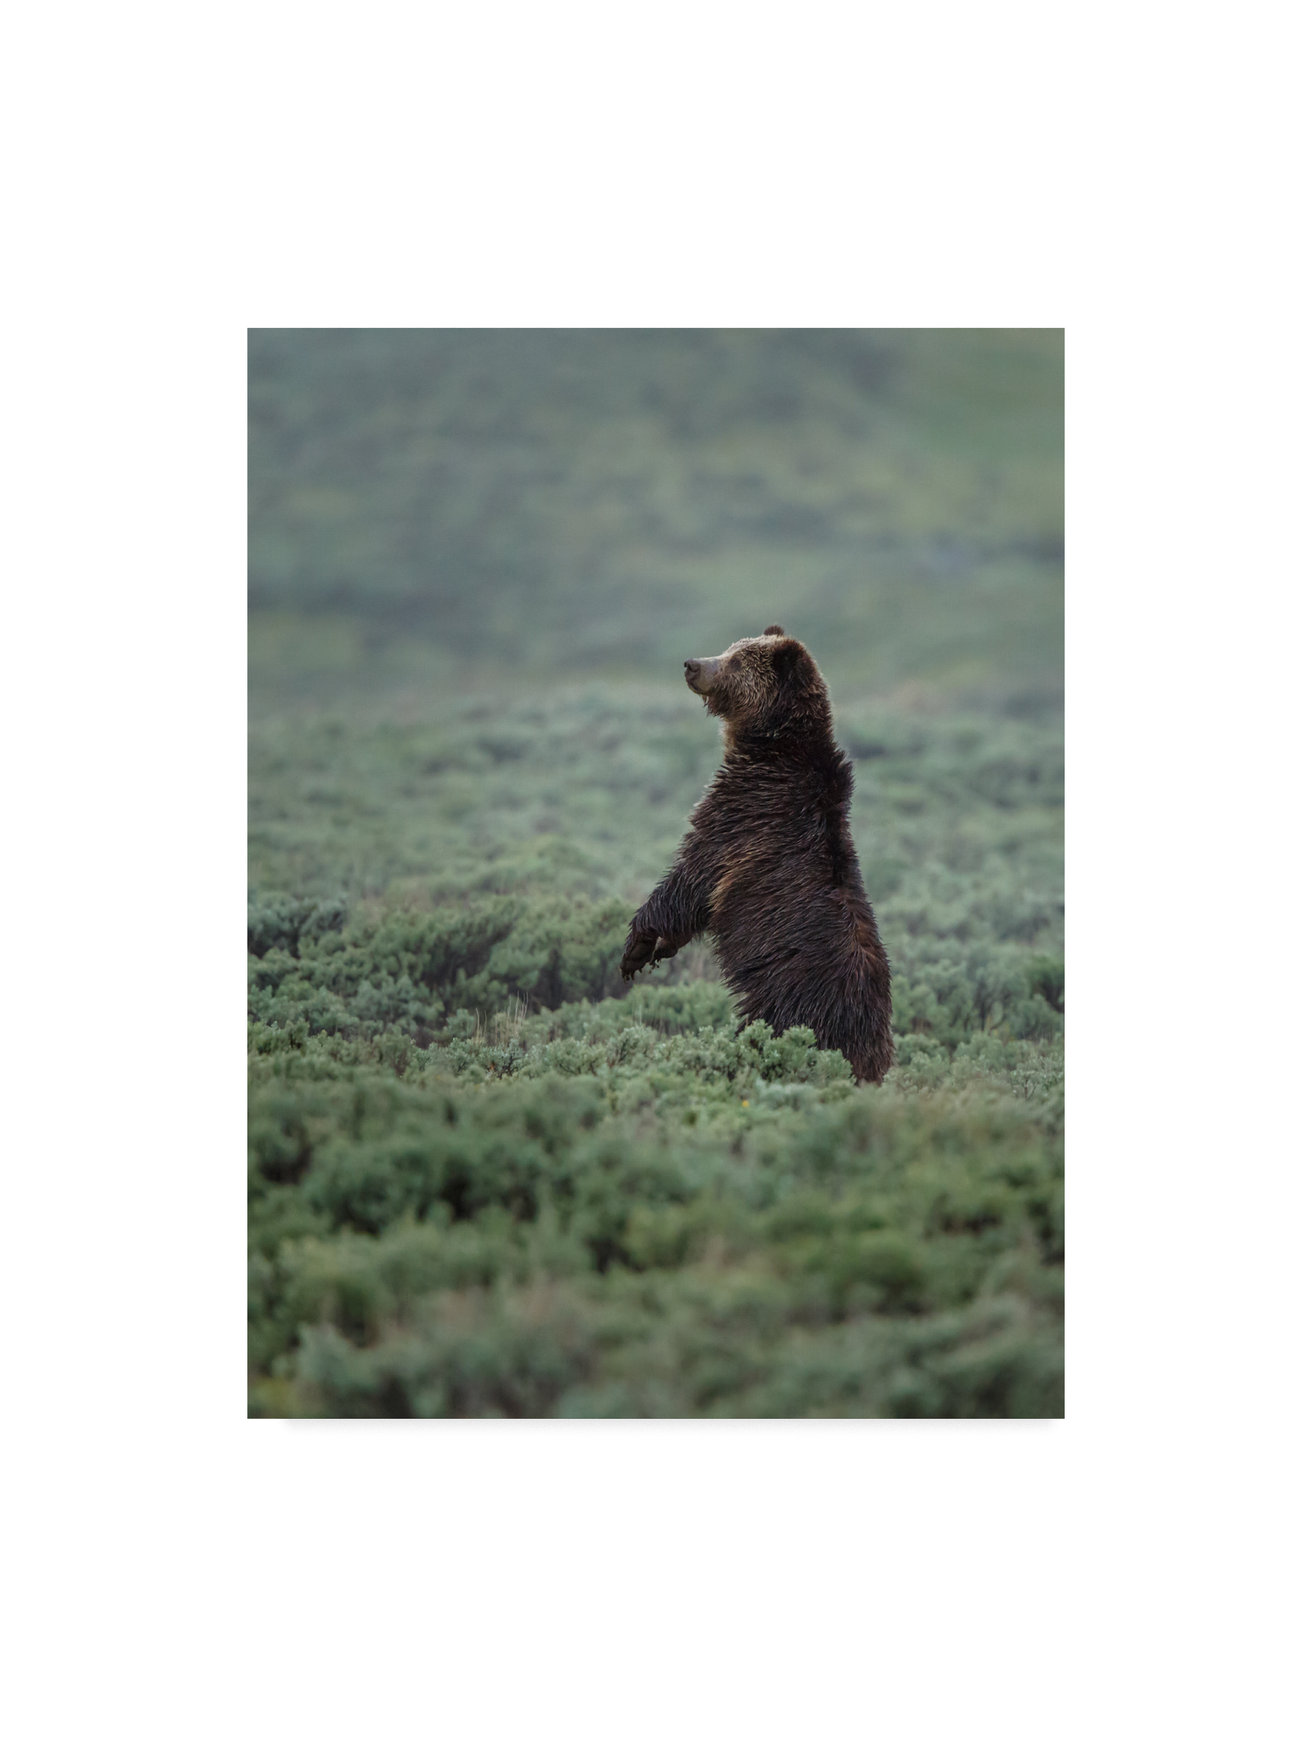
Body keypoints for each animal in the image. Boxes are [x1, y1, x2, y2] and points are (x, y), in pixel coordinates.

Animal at [620, 626, 894, 1085]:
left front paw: (638, 946)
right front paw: (660, 949)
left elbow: (691, 878)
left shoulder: (743, 818)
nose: (692, 664)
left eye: (735, 660)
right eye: (729, 648)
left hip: (790, 998)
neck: (773, 749)